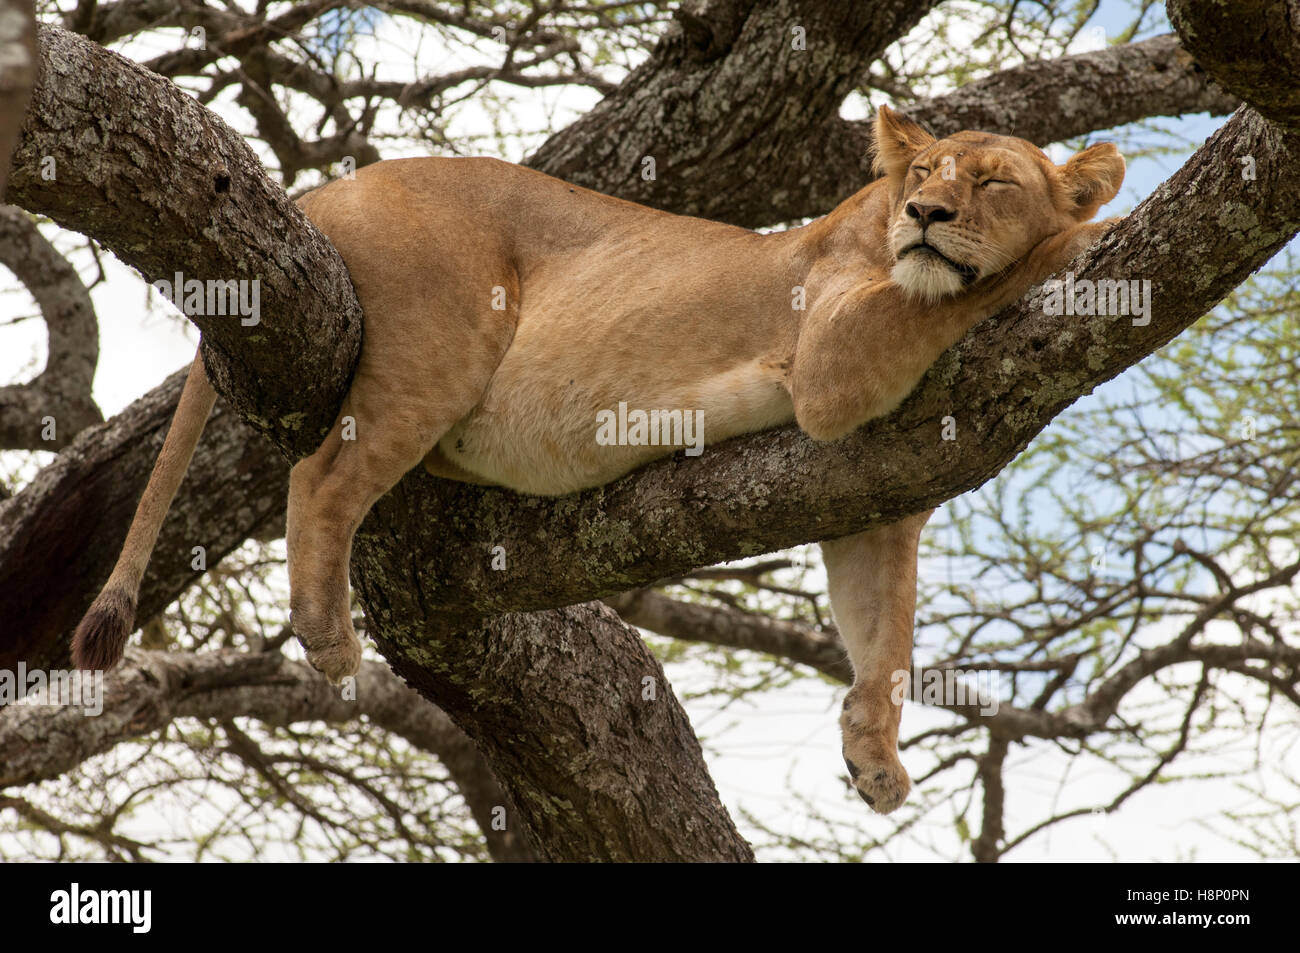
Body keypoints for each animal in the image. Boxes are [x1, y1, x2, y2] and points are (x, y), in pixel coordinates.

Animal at [73, 105, 1123, 814]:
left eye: (994, 182)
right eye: (929, 174)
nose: (925, 213)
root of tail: (329, 185)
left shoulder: (873, 502)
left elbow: (887, 637)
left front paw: (875, 757)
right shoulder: (829, 360)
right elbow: (968, 285)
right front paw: (1091, 231)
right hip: (440, 335)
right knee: (320, 477)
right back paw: (329, 635)